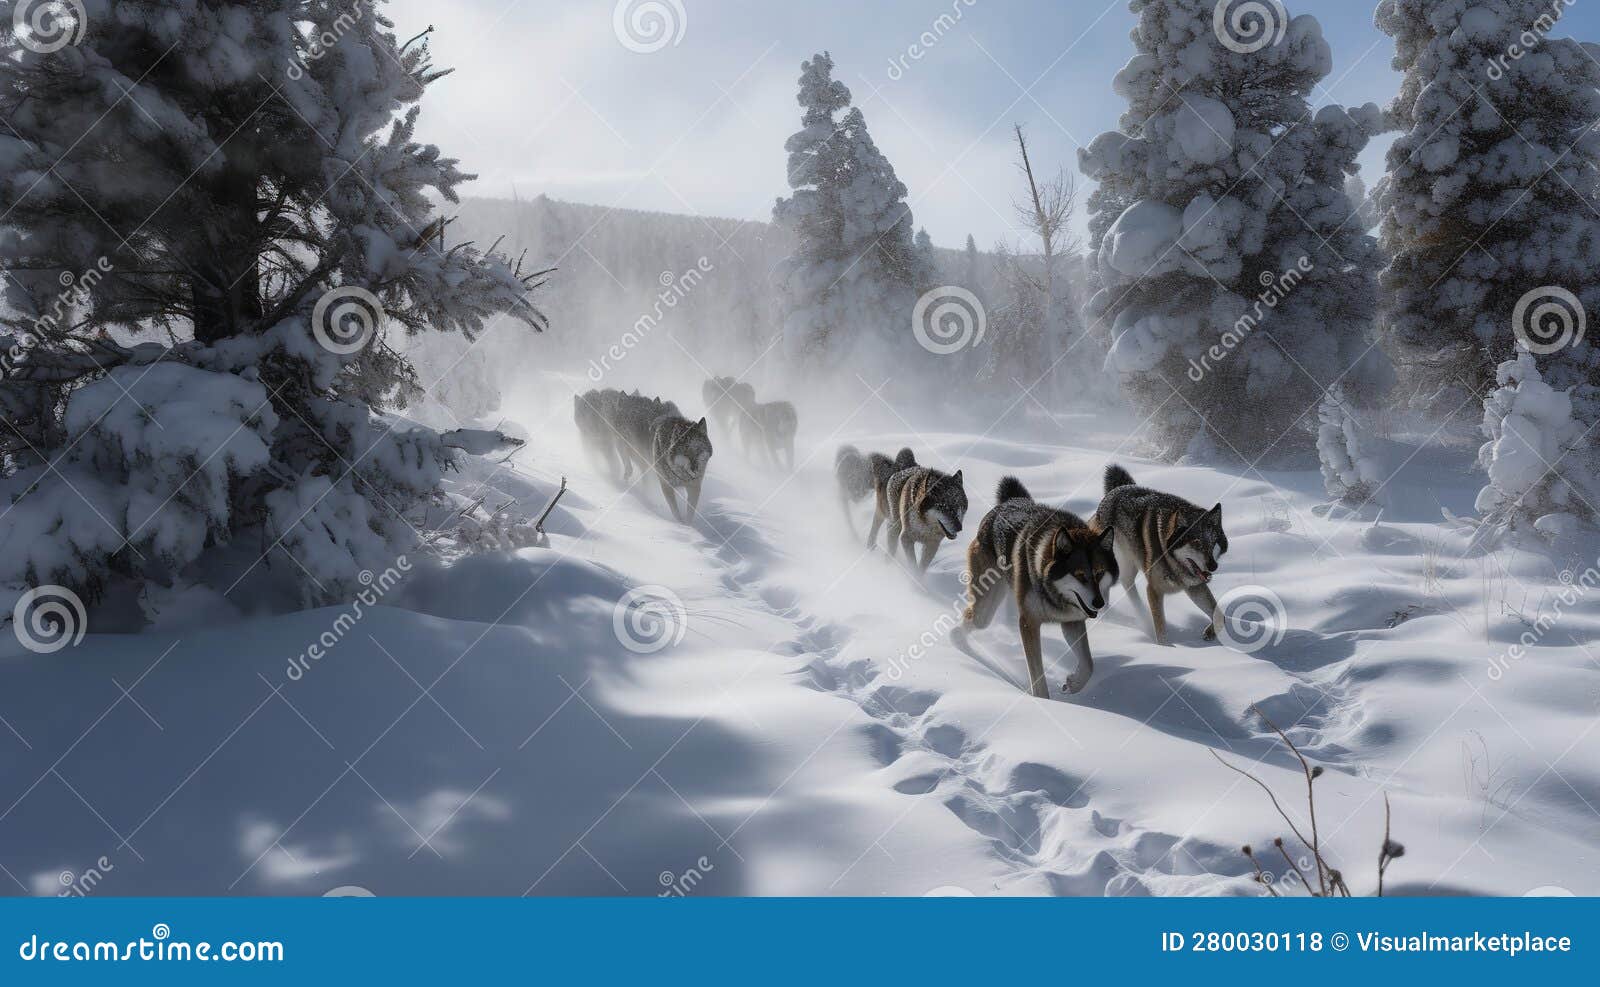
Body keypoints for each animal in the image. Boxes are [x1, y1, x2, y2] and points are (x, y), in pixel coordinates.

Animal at [962, 478, 1118, 697]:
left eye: (1099, 573)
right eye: (1079, 575)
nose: (1099, 603)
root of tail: (1006, 502)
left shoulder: (1072, 622)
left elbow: (1089, 665)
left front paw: (1073, 683)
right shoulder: (1029, 623)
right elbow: (1037, 676)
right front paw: (1044, 701)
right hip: (984, 611)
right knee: (969, 618)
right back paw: (956, 643)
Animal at [1092, 464, 1227, 645]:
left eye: (1213, 544)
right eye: (1197, 543)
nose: (1213, 566)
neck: (1171, 559)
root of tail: (1118, 489)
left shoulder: (1195, 587)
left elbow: (1219, 614)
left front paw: (1211, 632)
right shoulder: (1154, 590)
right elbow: (1161, 629)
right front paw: (1164, 648)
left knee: (1126, 585)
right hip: (1124, 562)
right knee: (1121, 584)